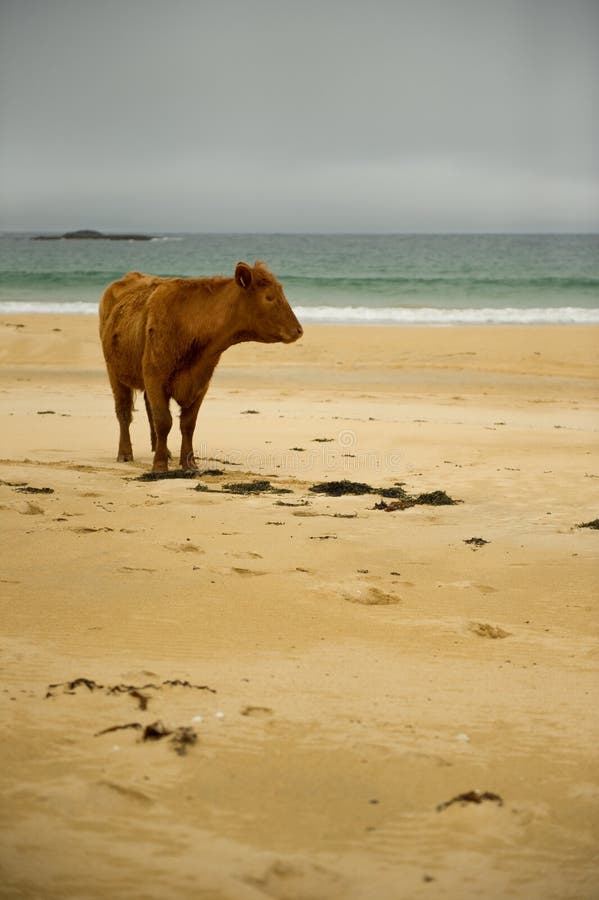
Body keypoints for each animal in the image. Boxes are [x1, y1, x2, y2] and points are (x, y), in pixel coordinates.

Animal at [99, 261, 302, 473]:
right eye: (269, 297)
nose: (298, 330)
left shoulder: (201, 383)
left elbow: (188, 424)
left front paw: (189, 464)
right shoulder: (155, 377)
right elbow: (164, 420)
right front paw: (160, 466)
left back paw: (163, 450)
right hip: (114, 373)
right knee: (123, 412)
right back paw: (125, 454)